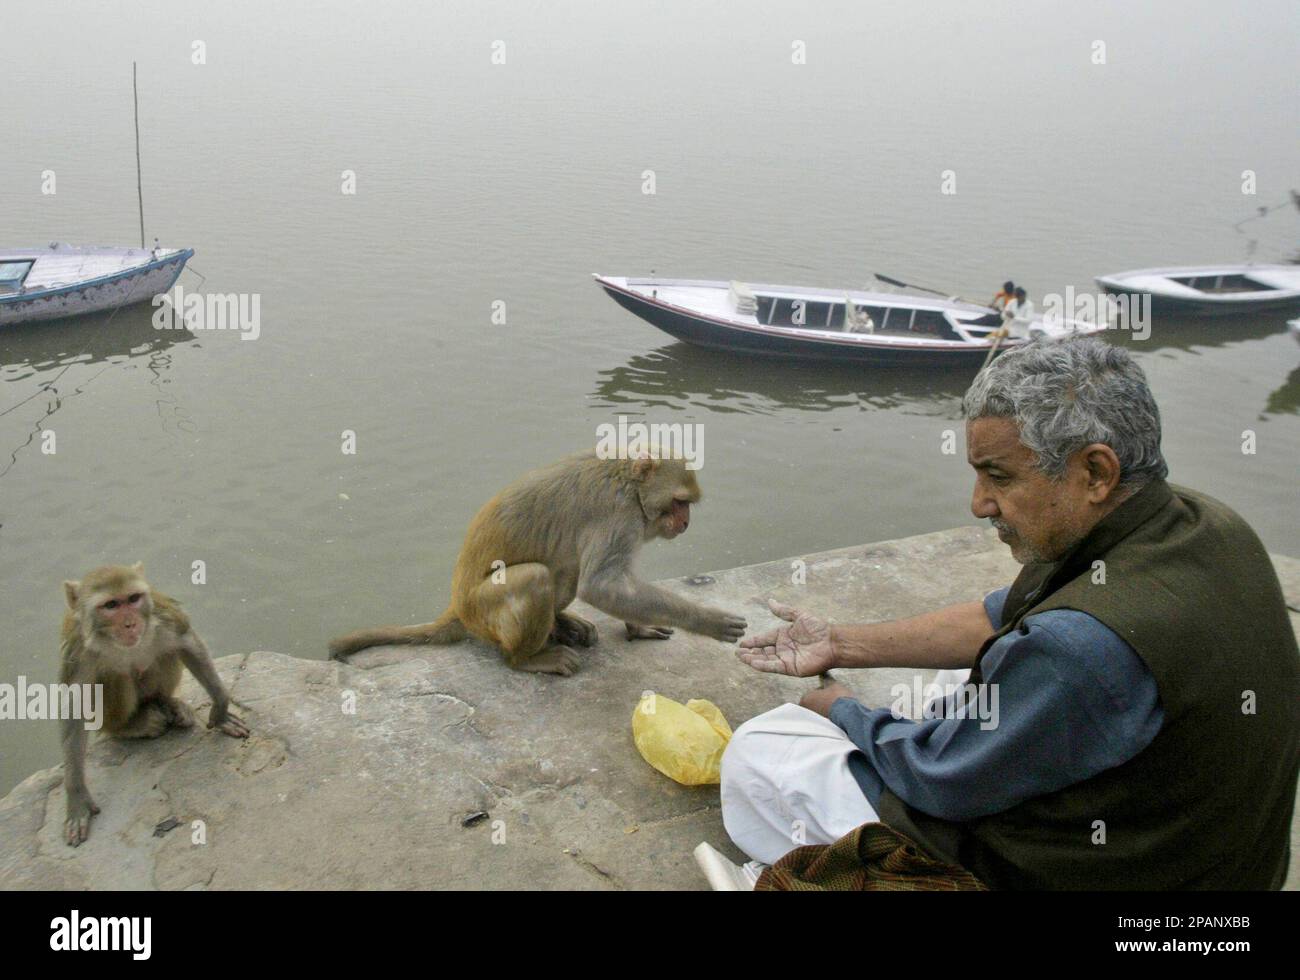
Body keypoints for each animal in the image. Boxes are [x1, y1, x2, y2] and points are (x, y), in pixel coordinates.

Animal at [59, 563, 249, 846]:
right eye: (111, 605)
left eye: (133, 599)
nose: (130, 623)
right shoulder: (79, 650)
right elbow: (75, 701)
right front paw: (77, 797)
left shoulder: (163, 616)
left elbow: (186, 642)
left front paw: (221, 710)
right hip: (108, 715)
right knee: (115, 675)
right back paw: (133, 726)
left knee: (164, 653)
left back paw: (169, 705)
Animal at [329, 451, 747, 676]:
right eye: (680, 503)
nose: (685, 522)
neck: (628, 482)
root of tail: (458, 606)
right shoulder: (619, 516)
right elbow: (603, 586)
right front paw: (707, 621)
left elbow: (617, 585)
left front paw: (639, 625)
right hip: (483, 612)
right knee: (536, 577)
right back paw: (526, 658)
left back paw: (561, 624)